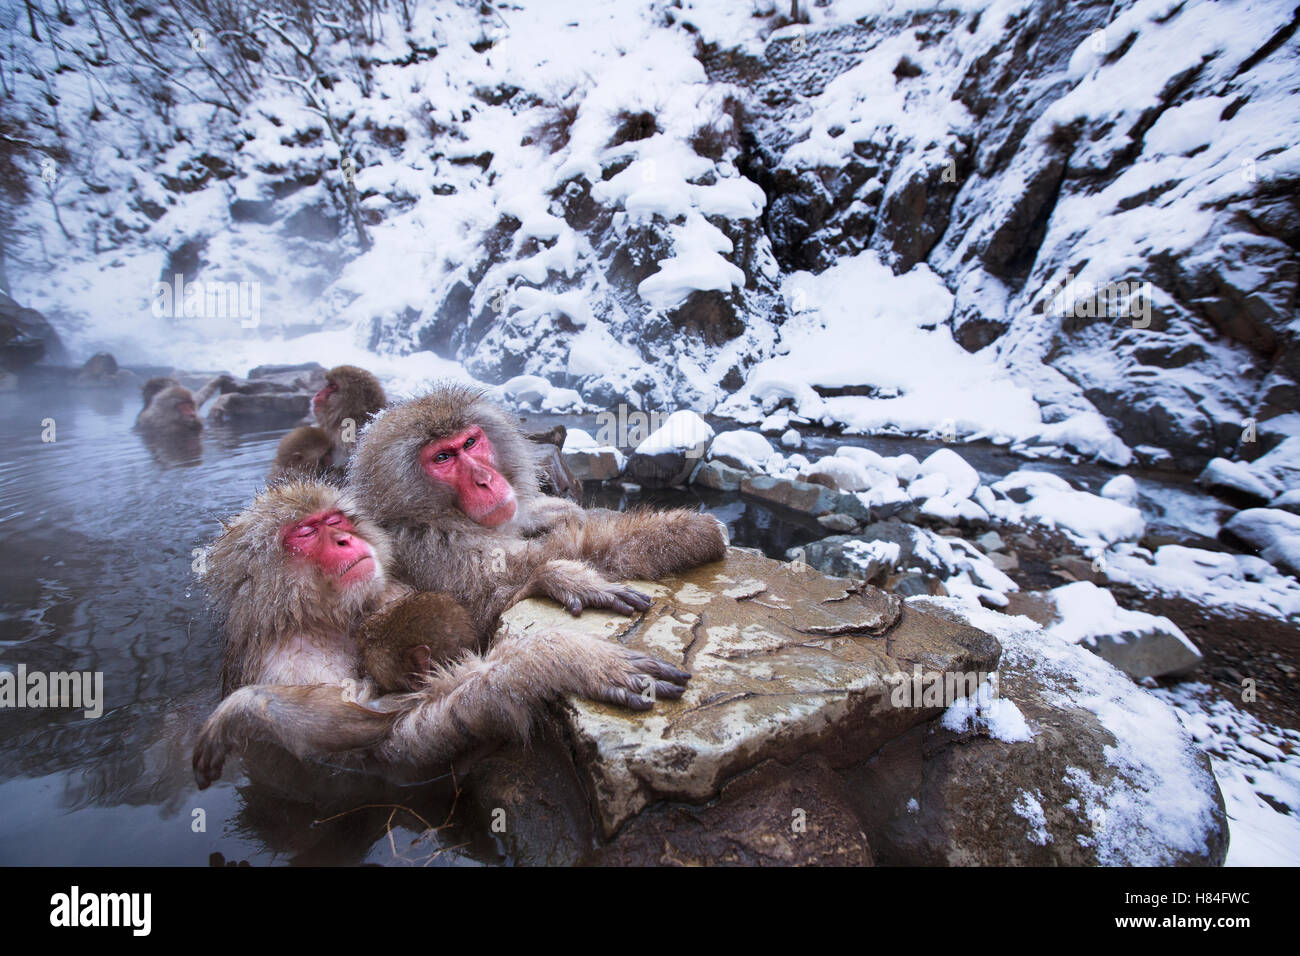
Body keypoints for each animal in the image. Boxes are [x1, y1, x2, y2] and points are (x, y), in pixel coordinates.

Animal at [191, 480, 690, 789]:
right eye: (306, 532)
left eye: (336, 522)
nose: (346, 541)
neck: (324, 616)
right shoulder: (291, 660)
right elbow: (385, 746)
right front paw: (560, 658)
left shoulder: (389, 589)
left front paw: (556, 577)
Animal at [346, 384, 729, 642]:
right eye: (442, 457)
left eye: (469, 443)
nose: (485, 479)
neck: (435, 513)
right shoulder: (431, 544)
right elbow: (490, 606)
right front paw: (686, 531)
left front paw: (564, 513)